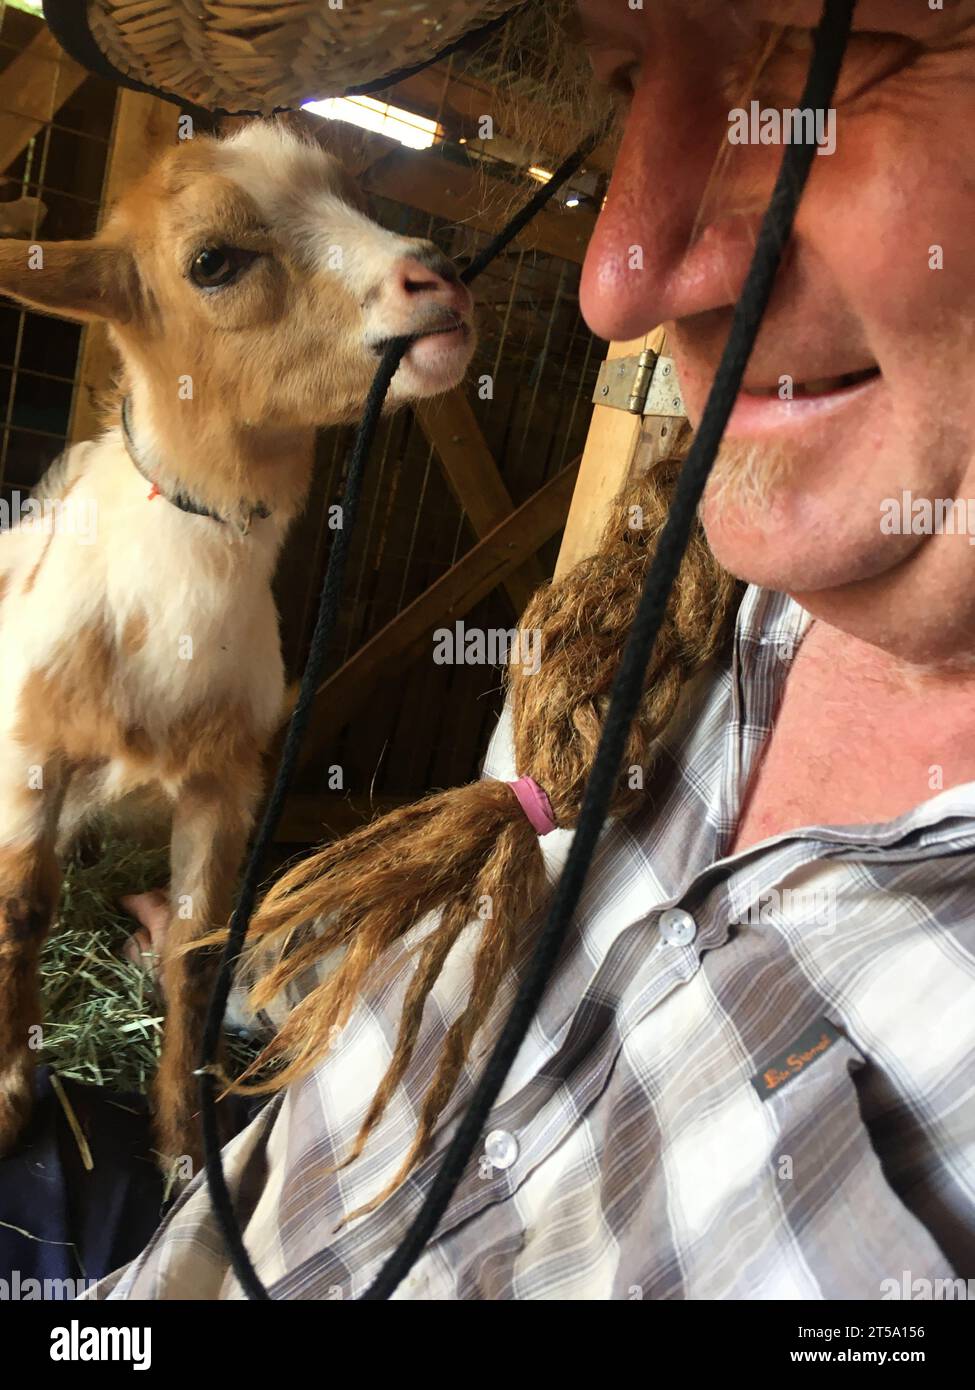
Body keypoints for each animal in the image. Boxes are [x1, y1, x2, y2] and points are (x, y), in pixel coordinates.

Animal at [0, 119, 476, 1172]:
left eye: (351, 195)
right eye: (212, 260)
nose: (439, 276)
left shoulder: (226, 779)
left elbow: (197, 946)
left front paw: (184, 1142)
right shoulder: (28, 754)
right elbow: (20, 915)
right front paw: (8, 1097)